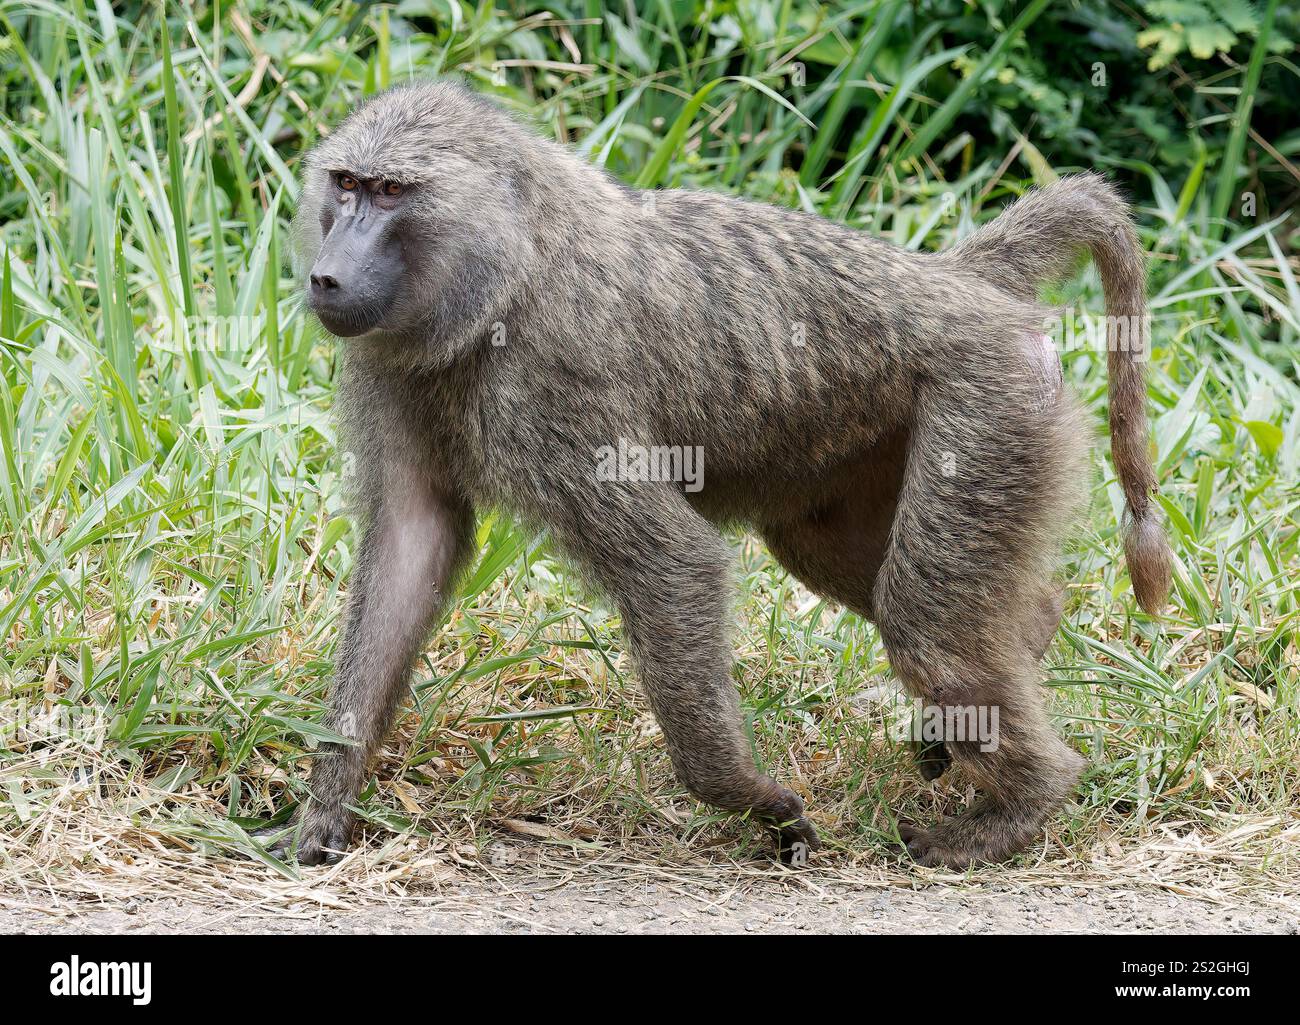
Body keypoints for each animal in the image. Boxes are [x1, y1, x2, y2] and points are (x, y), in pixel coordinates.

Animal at [262, 80, 1171, 870]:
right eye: (345, 185)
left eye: (391, 193)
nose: (326, 276)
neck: (503, 269)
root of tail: (960, 281)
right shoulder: (395, 369)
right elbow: (409, 550)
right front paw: (325, 806)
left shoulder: (552, 388)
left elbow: (673, 563)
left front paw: (753, 798)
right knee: (842, 560)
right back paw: (1019, 656)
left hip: (989, 404)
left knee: (923, 623)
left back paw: (1021, 804)